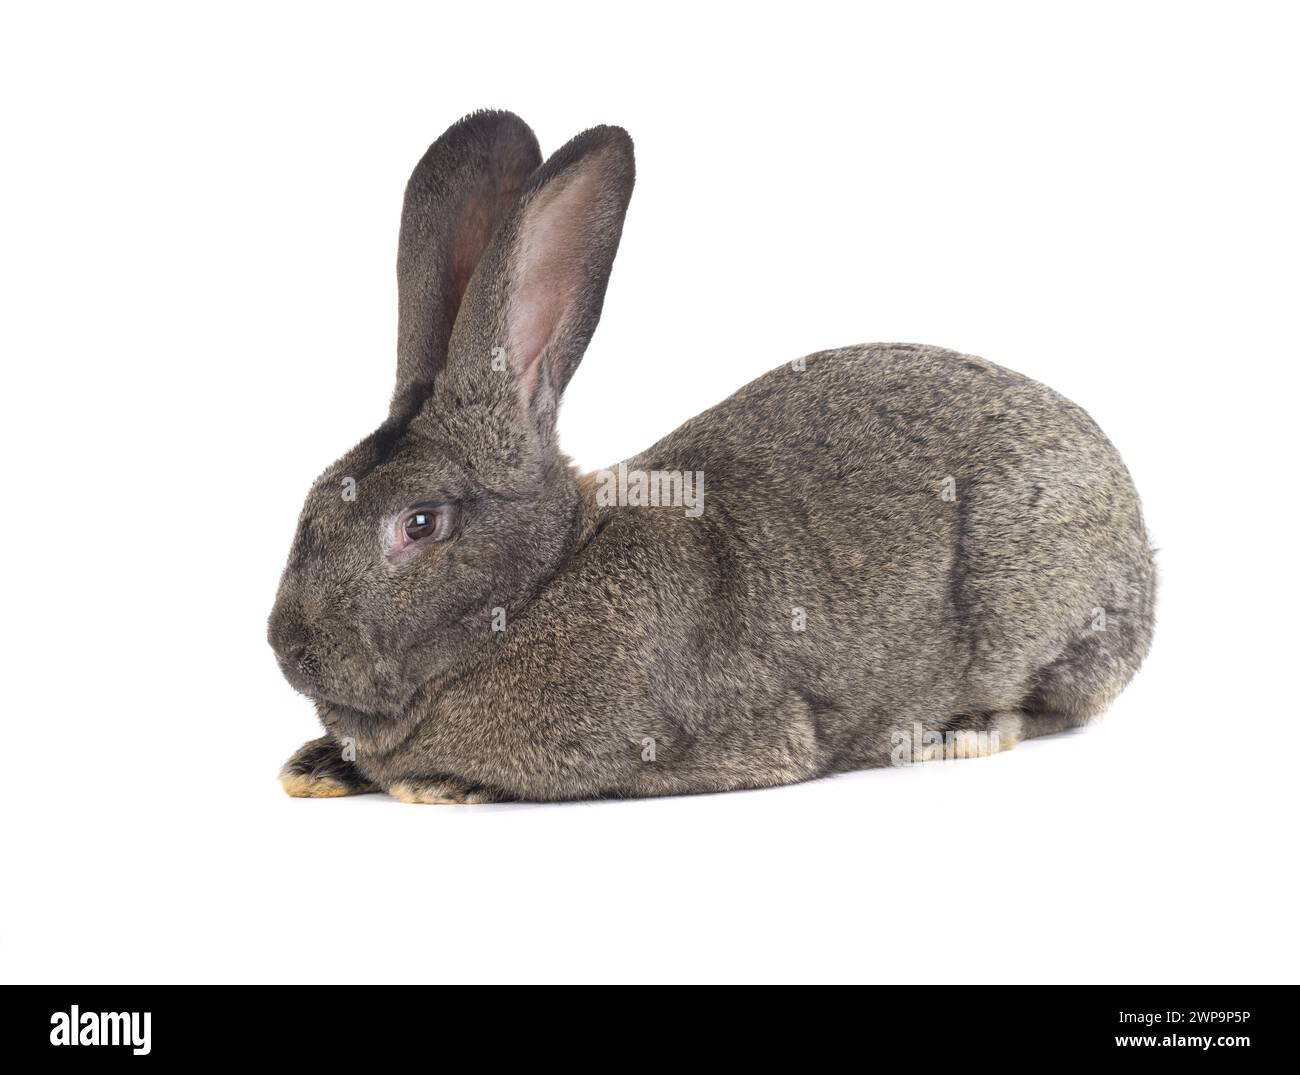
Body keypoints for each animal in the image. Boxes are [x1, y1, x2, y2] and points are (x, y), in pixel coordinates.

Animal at [268, 110, 1155, 804]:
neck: (545, 579)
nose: (288, 647)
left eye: (420, 523)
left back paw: (961, 729)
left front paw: (439, 782)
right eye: (312, 500)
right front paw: (316, 768)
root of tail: (1134, 529)